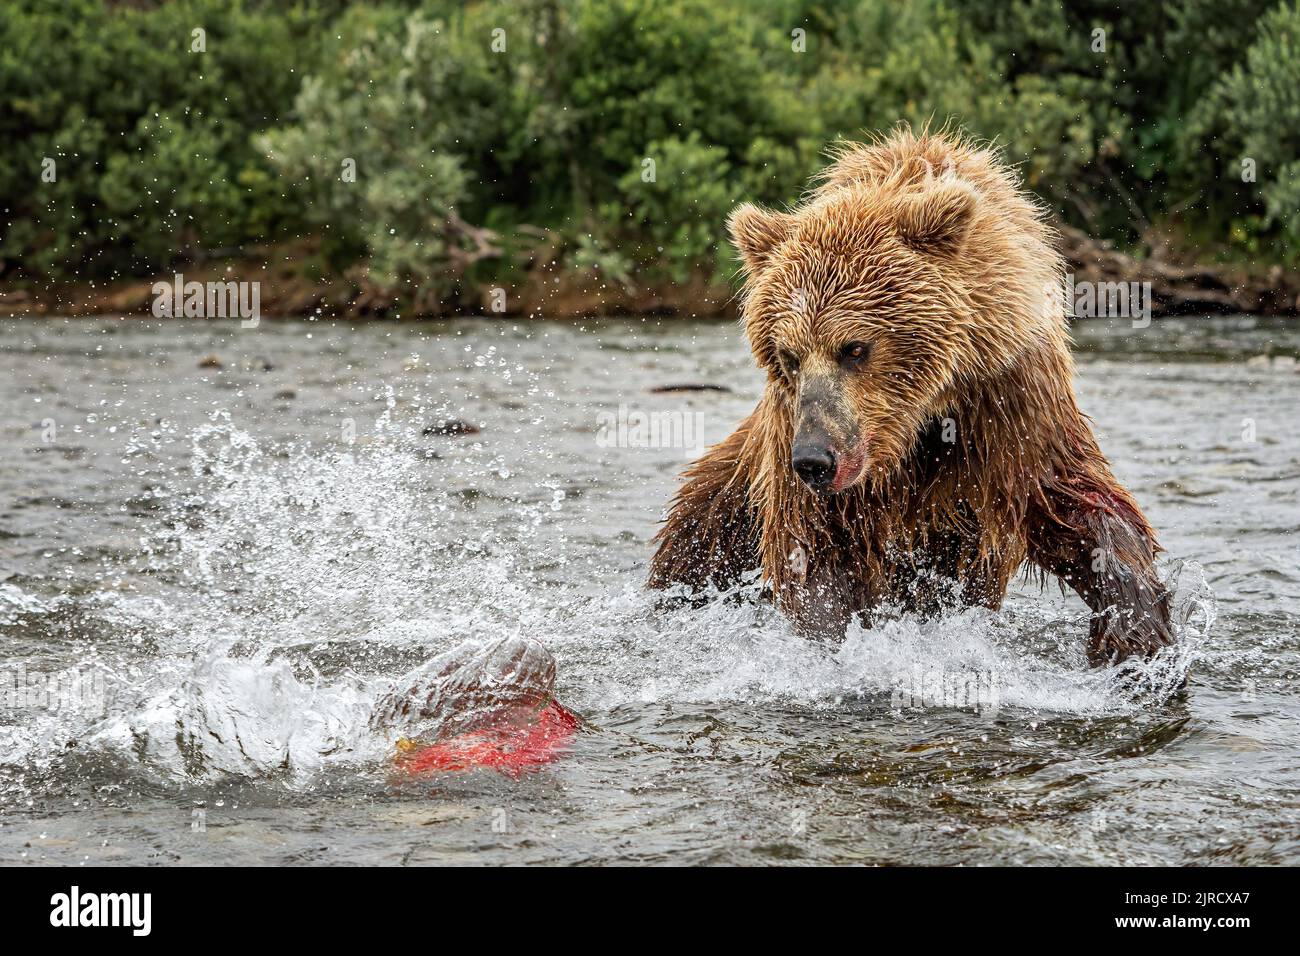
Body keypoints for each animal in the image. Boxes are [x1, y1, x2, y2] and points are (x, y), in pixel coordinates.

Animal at [648, 127, 1174, 666]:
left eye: (854, 348)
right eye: (788, 356)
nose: (814, 460)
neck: (920, 419)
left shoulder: (1010, 405)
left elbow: (1078, 503)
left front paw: (1135, 635)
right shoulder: (810, 453)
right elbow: (813, 550)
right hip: (731, 498)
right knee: (693, 551)